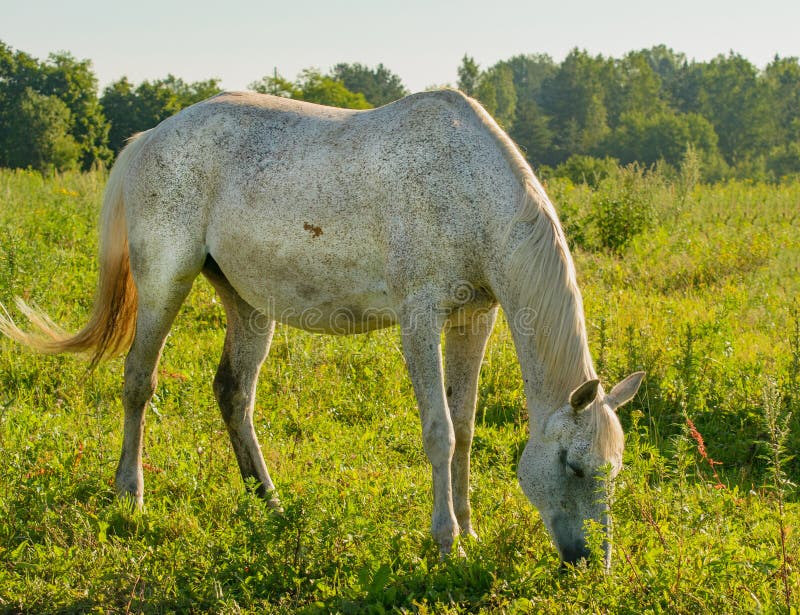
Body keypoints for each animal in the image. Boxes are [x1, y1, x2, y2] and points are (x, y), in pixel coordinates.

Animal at [0, 89, 643, 565]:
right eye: (575, 467)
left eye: (612, 472)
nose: (591, 562)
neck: (467, 188)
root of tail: (149, 138)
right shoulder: (420, 319)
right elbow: (439, 431)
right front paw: (447, 543)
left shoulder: (473, 319)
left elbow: (464, 428)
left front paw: (469, 530)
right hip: (165, 281)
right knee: (139, 381)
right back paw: (130, 496)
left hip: (247, 305)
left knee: (234, 394)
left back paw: (269, 502)